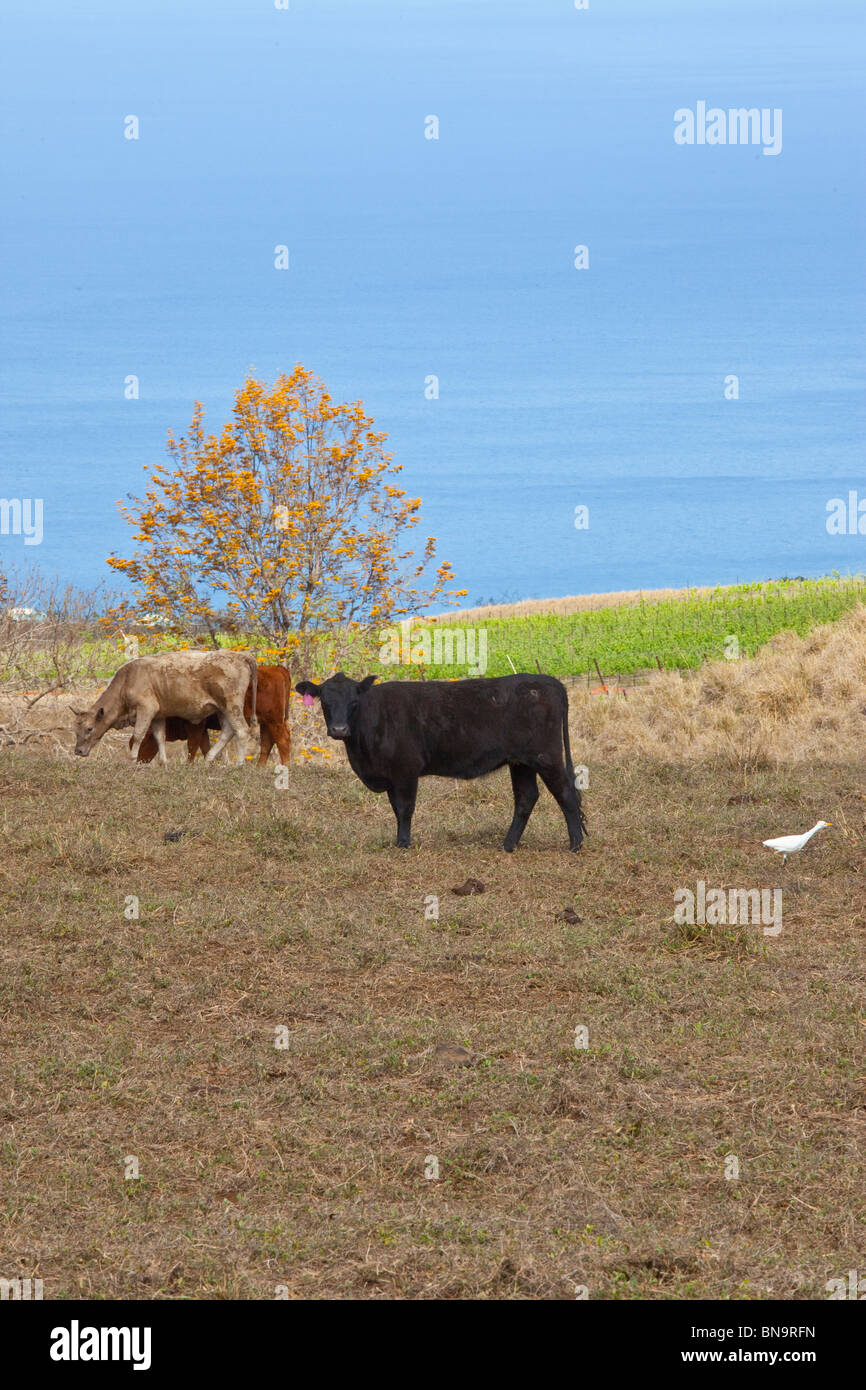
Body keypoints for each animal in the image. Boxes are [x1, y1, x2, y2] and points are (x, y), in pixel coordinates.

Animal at [73, 650, 258, 765]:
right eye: (76, 729)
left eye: (89, 728)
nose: (78, 751)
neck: (127, 680)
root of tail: (241, 656)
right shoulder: (158, 716)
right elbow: (159, 737)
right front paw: (163, 762)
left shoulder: (145, 709)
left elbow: (138, 735)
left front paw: (132, 760)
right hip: (222, 709)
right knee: (228, 731)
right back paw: (209, 759)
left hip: (232, 706)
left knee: (242, 731)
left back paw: (239, 764)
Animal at [133, 665, 292, 767]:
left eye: (144, 743)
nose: (139, 761)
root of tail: (276, 668)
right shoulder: (202, 730)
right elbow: (204, 747)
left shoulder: (196, 724)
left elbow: (192, 746)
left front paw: (189, 765)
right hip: (267, 722)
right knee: (267, 743)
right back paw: (260, 767)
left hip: (275, 721)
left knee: (282, 740)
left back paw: (285, 765)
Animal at [295, 671, 586, 852]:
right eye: (324, 701)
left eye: (354, 701)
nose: (339, 729)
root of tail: (547, 681)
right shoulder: (391, 776)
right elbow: (395, 808)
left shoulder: (406, 770)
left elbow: (405, 808)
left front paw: (403, 844)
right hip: (521, 762)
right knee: (526, 797)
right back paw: (508, 845)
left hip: (546, 756)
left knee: (565, 792)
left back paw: (575, 845)